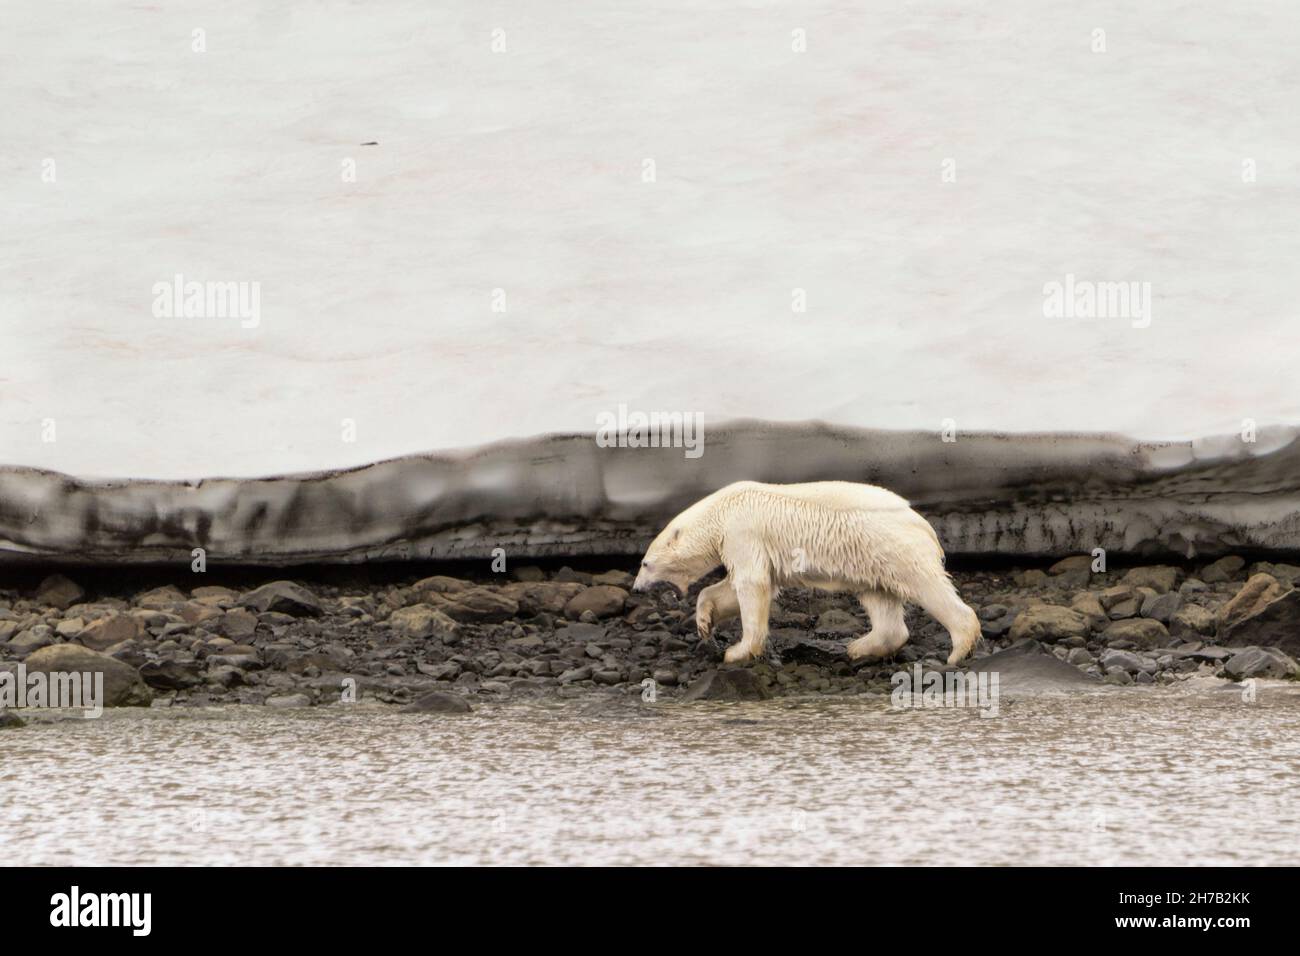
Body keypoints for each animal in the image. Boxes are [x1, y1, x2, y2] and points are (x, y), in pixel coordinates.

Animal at [631, 480, 980, 666]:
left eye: (644, 563)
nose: (635, 588)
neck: (721, 510)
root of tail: (922, 523)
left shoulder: (742, 532)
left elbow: (751, 583)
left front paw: (737, 651)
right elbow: (732, 587)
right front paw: (704, 623)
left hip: (895, 547)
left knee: (927, 586)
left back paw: (958, 649)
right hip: (870, 558)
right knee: (878, 597)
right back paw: (858, 648)